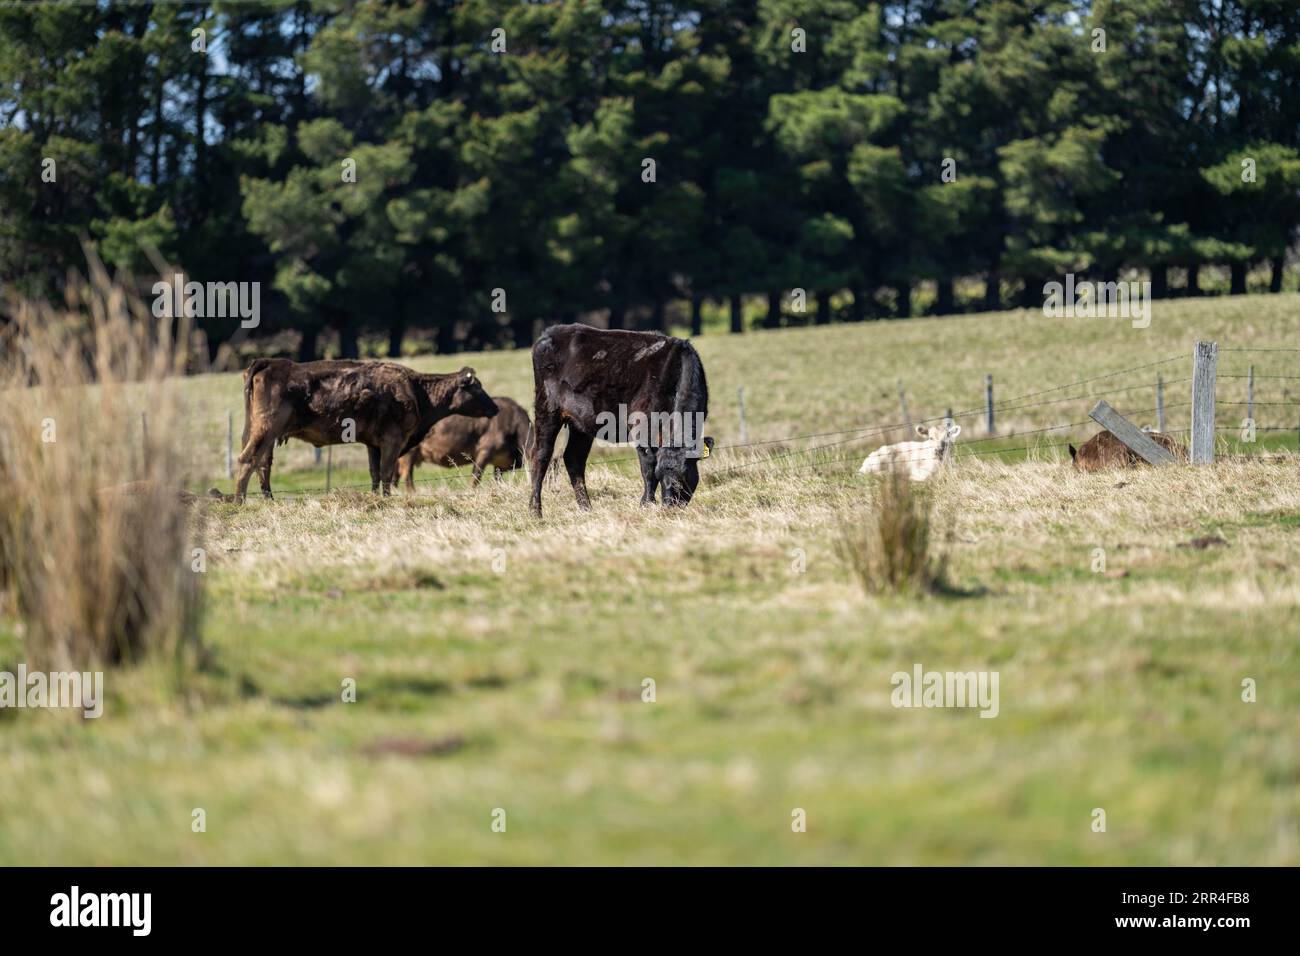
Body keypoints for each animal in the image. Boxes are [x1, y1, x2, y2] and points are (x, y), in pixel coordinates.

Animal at [235, 359, 497, 501]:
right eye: (477, 387)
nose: (494, 408)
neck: (415, 389)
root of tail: (270, 362)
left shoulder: (373, 444)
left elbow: (374, 473)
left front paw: (375, 497)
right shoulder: (393, 440)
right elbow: (386, 472)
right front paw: (387, 498)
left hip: (265, 434)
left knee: (263, 465)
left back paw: (268, 499)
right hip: (265, 430)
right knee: (248, 460)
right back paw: (239, 501)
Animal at [397, 395, 533, 492]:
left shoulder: (499, 463)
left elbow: (497, 480)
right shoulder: (485, 450)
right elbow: (475, 478)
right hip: (408, 454)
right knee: (407, 478)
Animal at [528, 324, 714, 516]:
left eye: (684, 475)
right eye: (660, 475)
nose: (669, 505)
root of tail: (551, 331)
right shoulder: (642, 428)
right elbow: (648, 468)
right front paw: (646, 504)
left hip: (580, 422)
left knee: (574, 458)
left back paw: (586, 508)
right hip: (546, 406)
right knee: (540, 455)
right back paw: (535, 511)